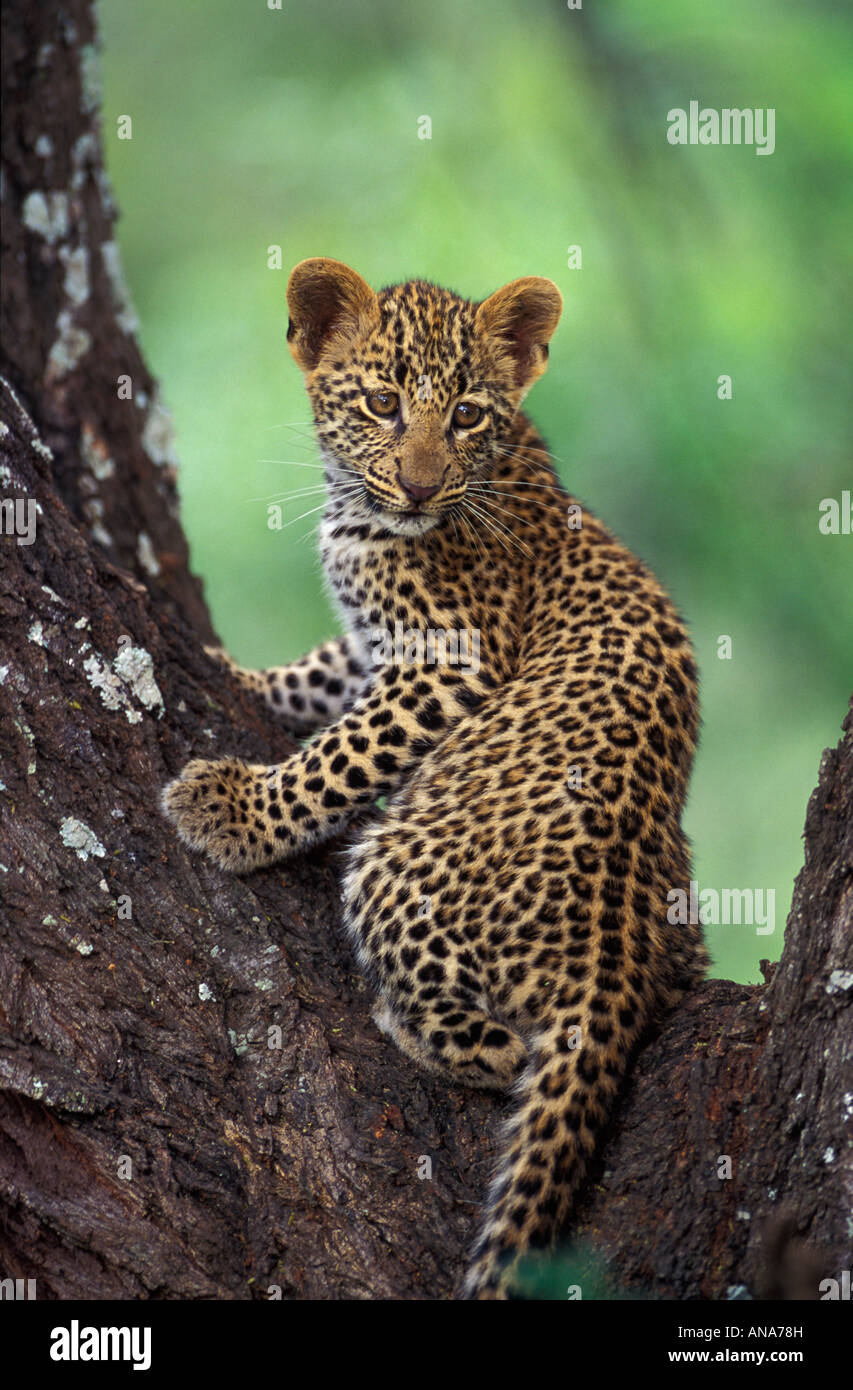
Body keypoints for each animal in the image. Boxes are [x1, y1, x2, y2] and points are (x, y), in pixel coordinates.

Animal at [162, 257, 708, 1299]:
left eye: (464, 414)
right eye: (381, 403)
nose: (416, 488)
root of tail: (615, 953)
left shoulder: (447, 666)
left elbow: (337, 755)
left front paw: (234, 810)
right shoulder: (374, 648)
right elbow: (317, 674)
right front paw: (234, 669)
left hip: (393, 865)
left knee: (508, 1051)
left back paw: (396, 1020)